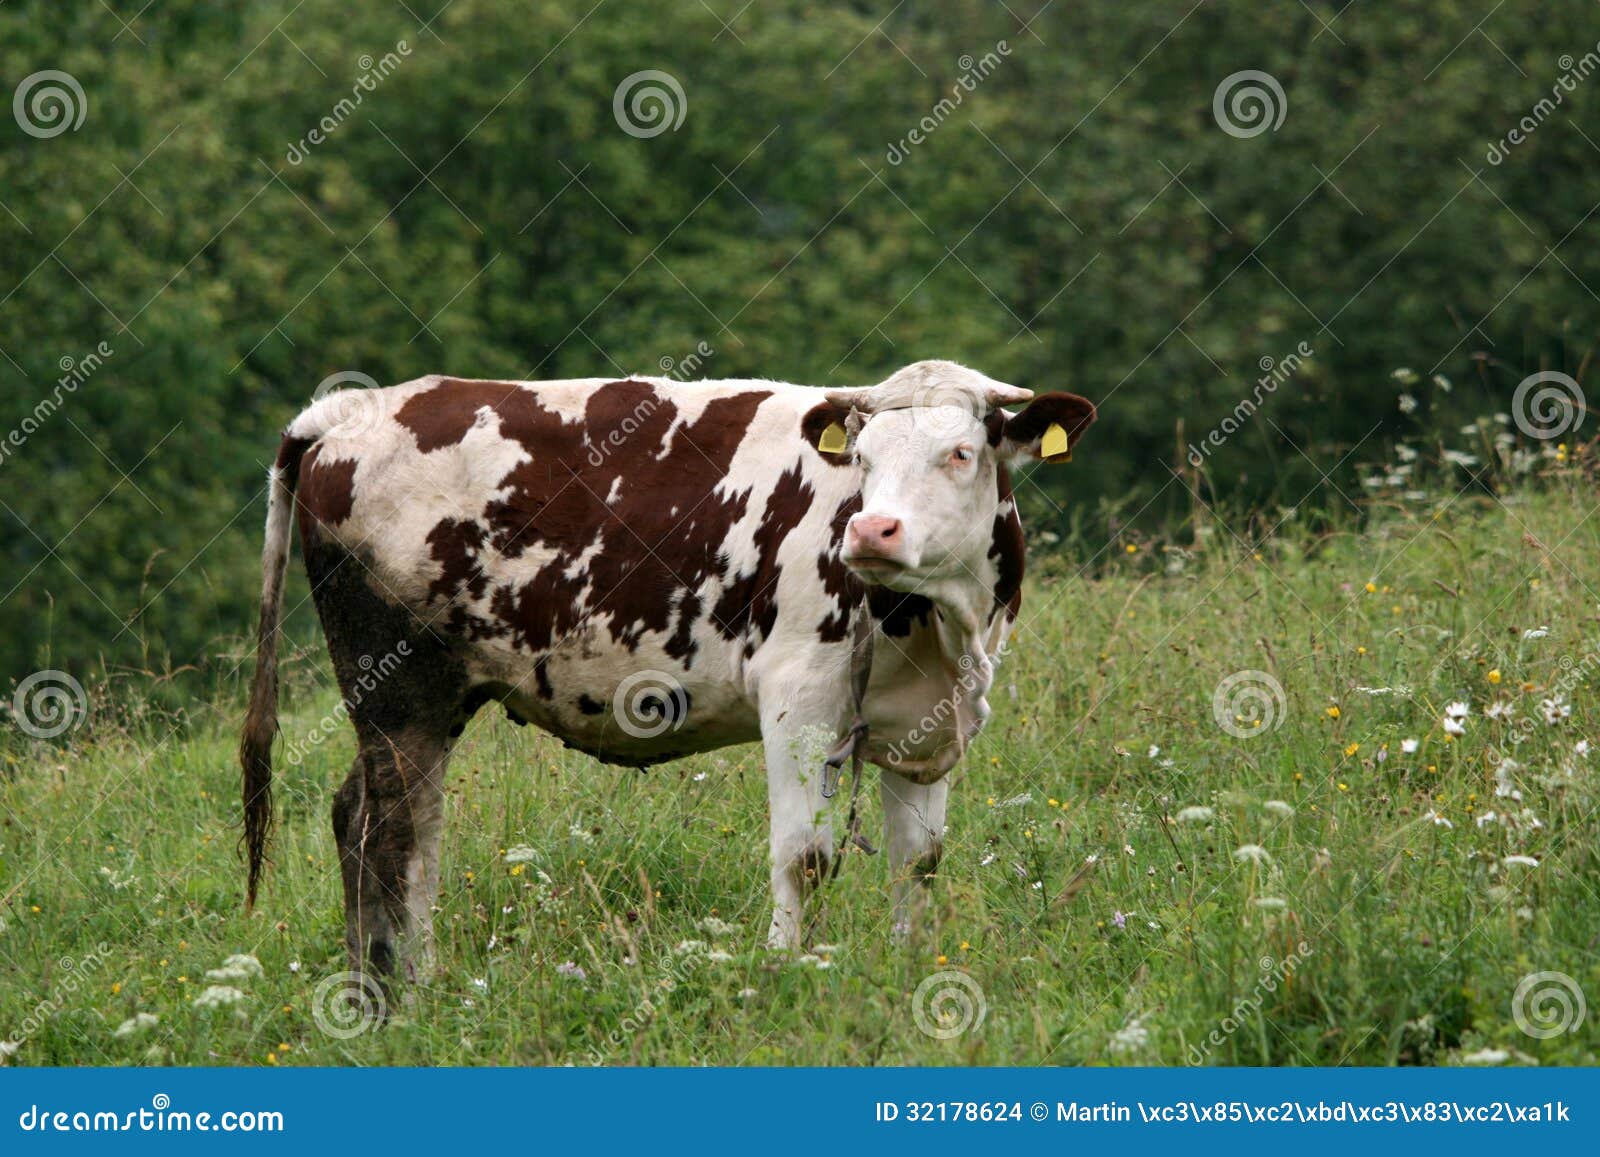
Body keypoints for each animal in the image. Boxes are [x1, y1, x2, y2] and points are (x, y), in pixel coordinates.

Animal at [240, 359, 1094, 982]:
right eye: (864, 455)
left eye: (961, 452)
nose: (871, 530)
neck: (941, 628)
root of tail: (353, 410)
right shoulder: (801, 692)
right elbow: (805, 855)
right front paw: (784, 975)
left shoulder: (926, 719)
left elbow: (918, 863)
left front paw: (912, 972)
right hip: (399, 685)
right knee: (396, 833)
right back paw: (406, 993)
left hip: (419, 696)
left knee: (358, 816)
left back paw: (379, 984)